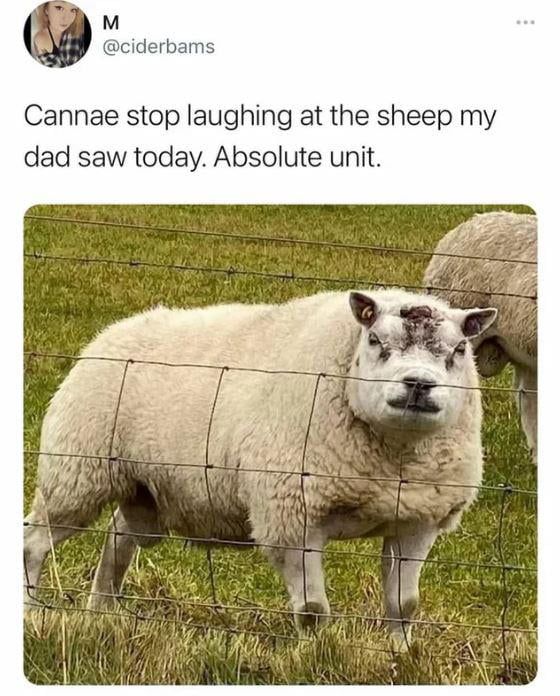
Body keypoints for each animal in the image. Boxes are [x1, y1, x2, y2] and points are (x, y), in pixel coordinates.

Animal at [24, 288, 498, 651]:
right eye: (376, 341)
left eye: (459, 350)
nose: (418, 384)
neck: (393, 458)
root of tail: (114, 331)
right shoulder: (291, 517)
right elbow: (312, 611)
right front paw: (314, 656)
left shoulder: (418, 521)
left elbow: (405, 605)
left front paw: (401, 655)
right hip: (76, 473)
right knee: (35, 541)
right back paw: (32, 611)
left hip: (144, 489)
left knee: (118, 537)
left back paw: (101, 610)